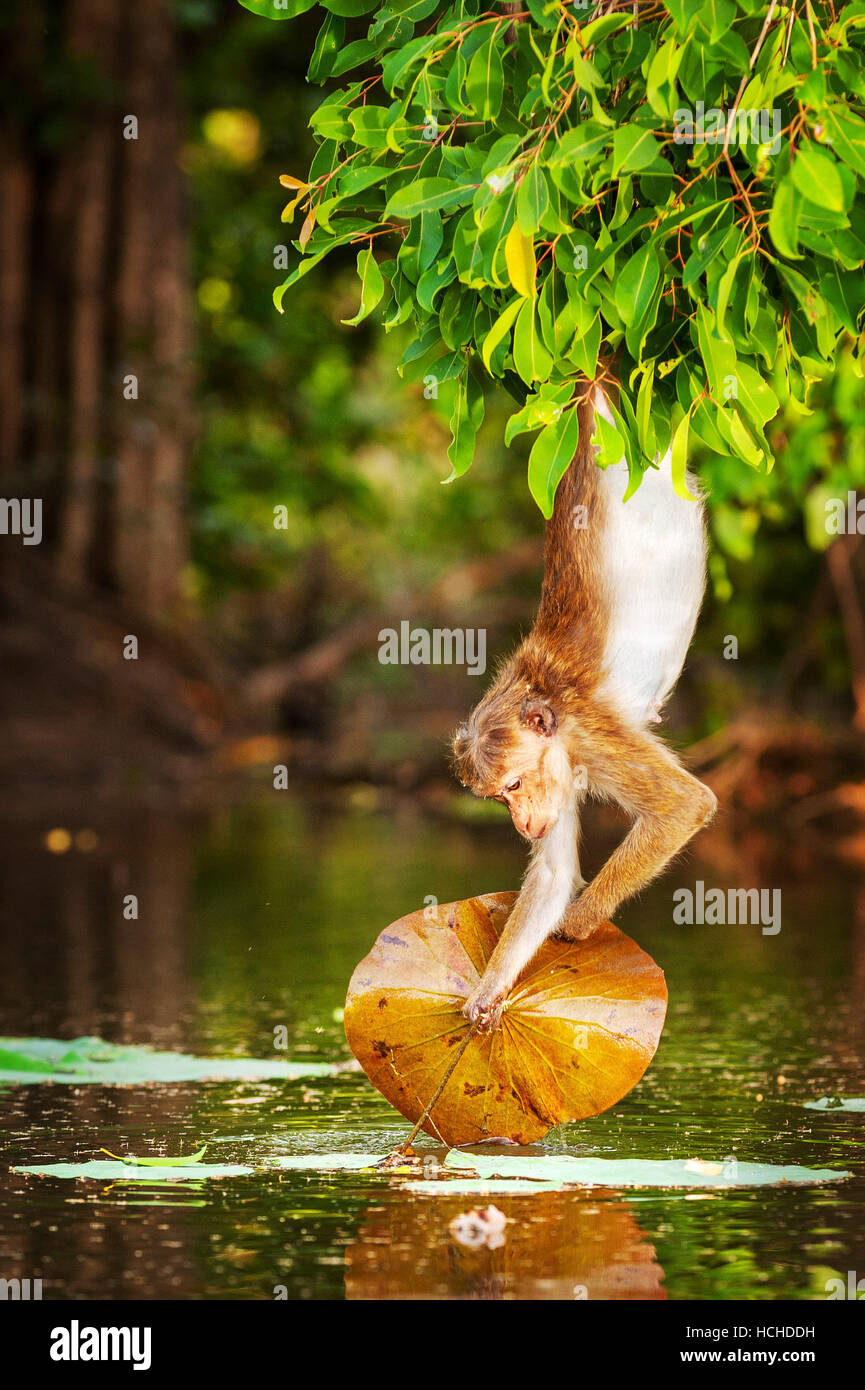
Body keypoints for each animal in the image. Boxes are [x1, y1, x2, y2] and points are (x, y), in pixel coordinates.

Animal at [452, 385, 717, 1032]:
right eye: (501, 798)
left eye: (513, 785)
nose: (521, 821)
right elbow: (550, 875)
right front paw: (489, 991)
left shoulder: (594, 738)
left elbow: (685, 806)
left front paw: (577, 923)